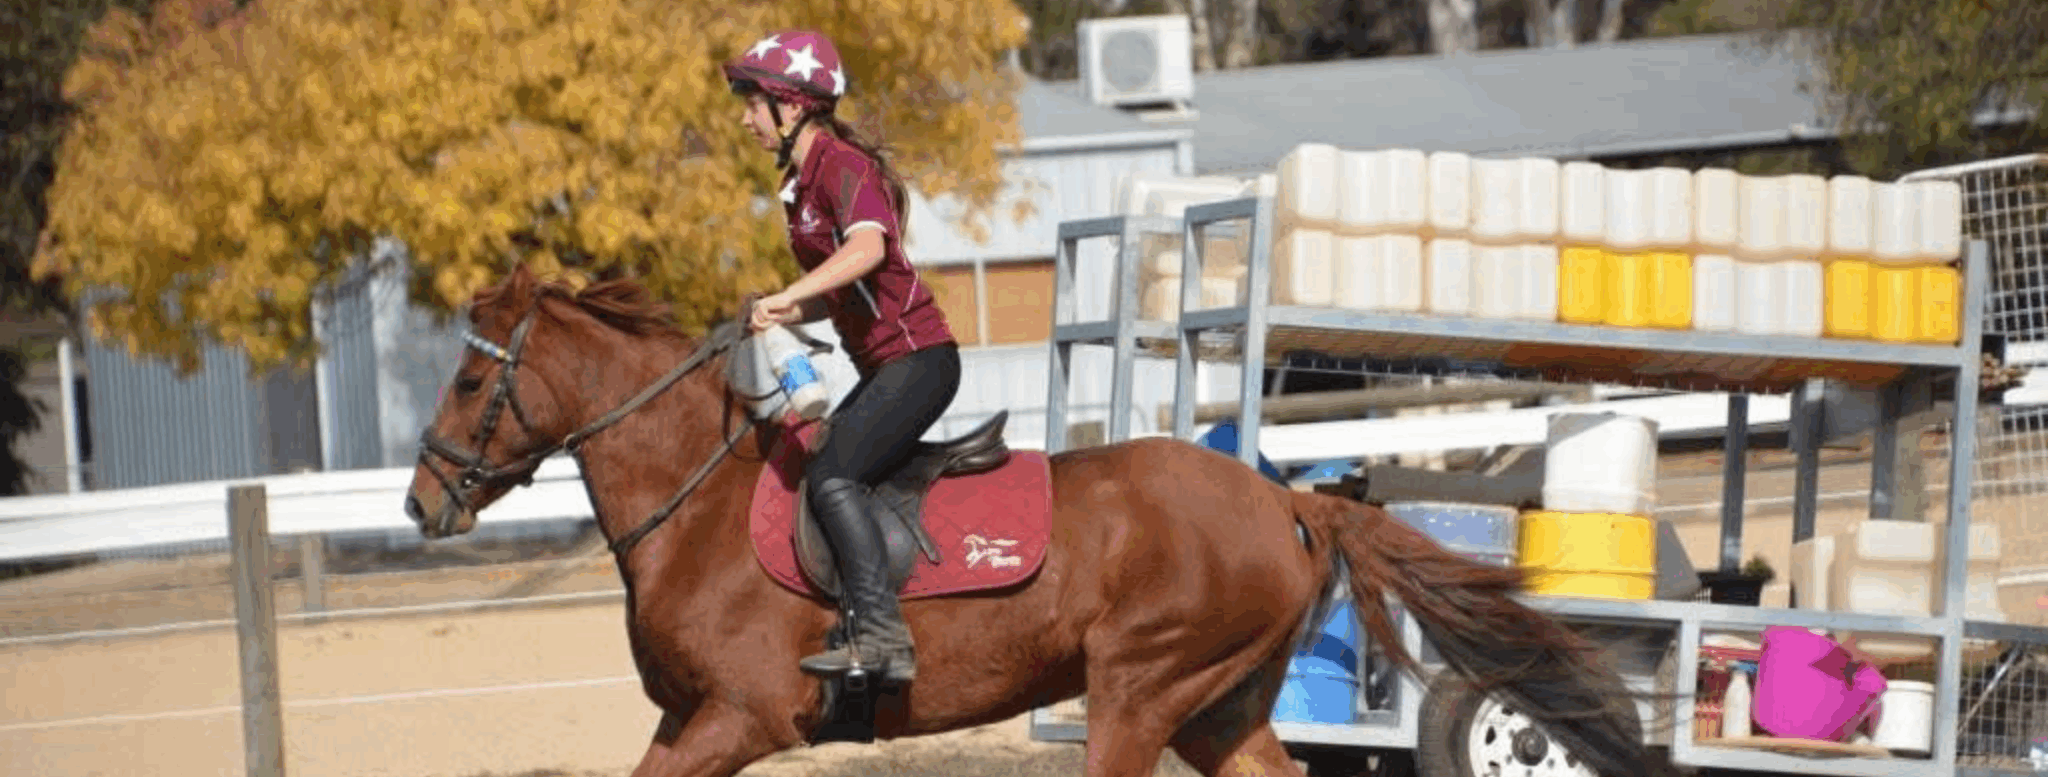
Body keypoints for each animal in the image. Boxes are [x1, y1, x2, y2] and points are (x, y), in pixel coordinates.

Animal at [402, 264, 1662, 777]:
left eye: (467, 382)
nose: (420, 502)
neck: (696, 506)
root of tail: (1283, 498)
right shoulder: (688, 720)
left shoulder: (742, 717)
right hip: (1217, 707)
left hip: (1140, 690)